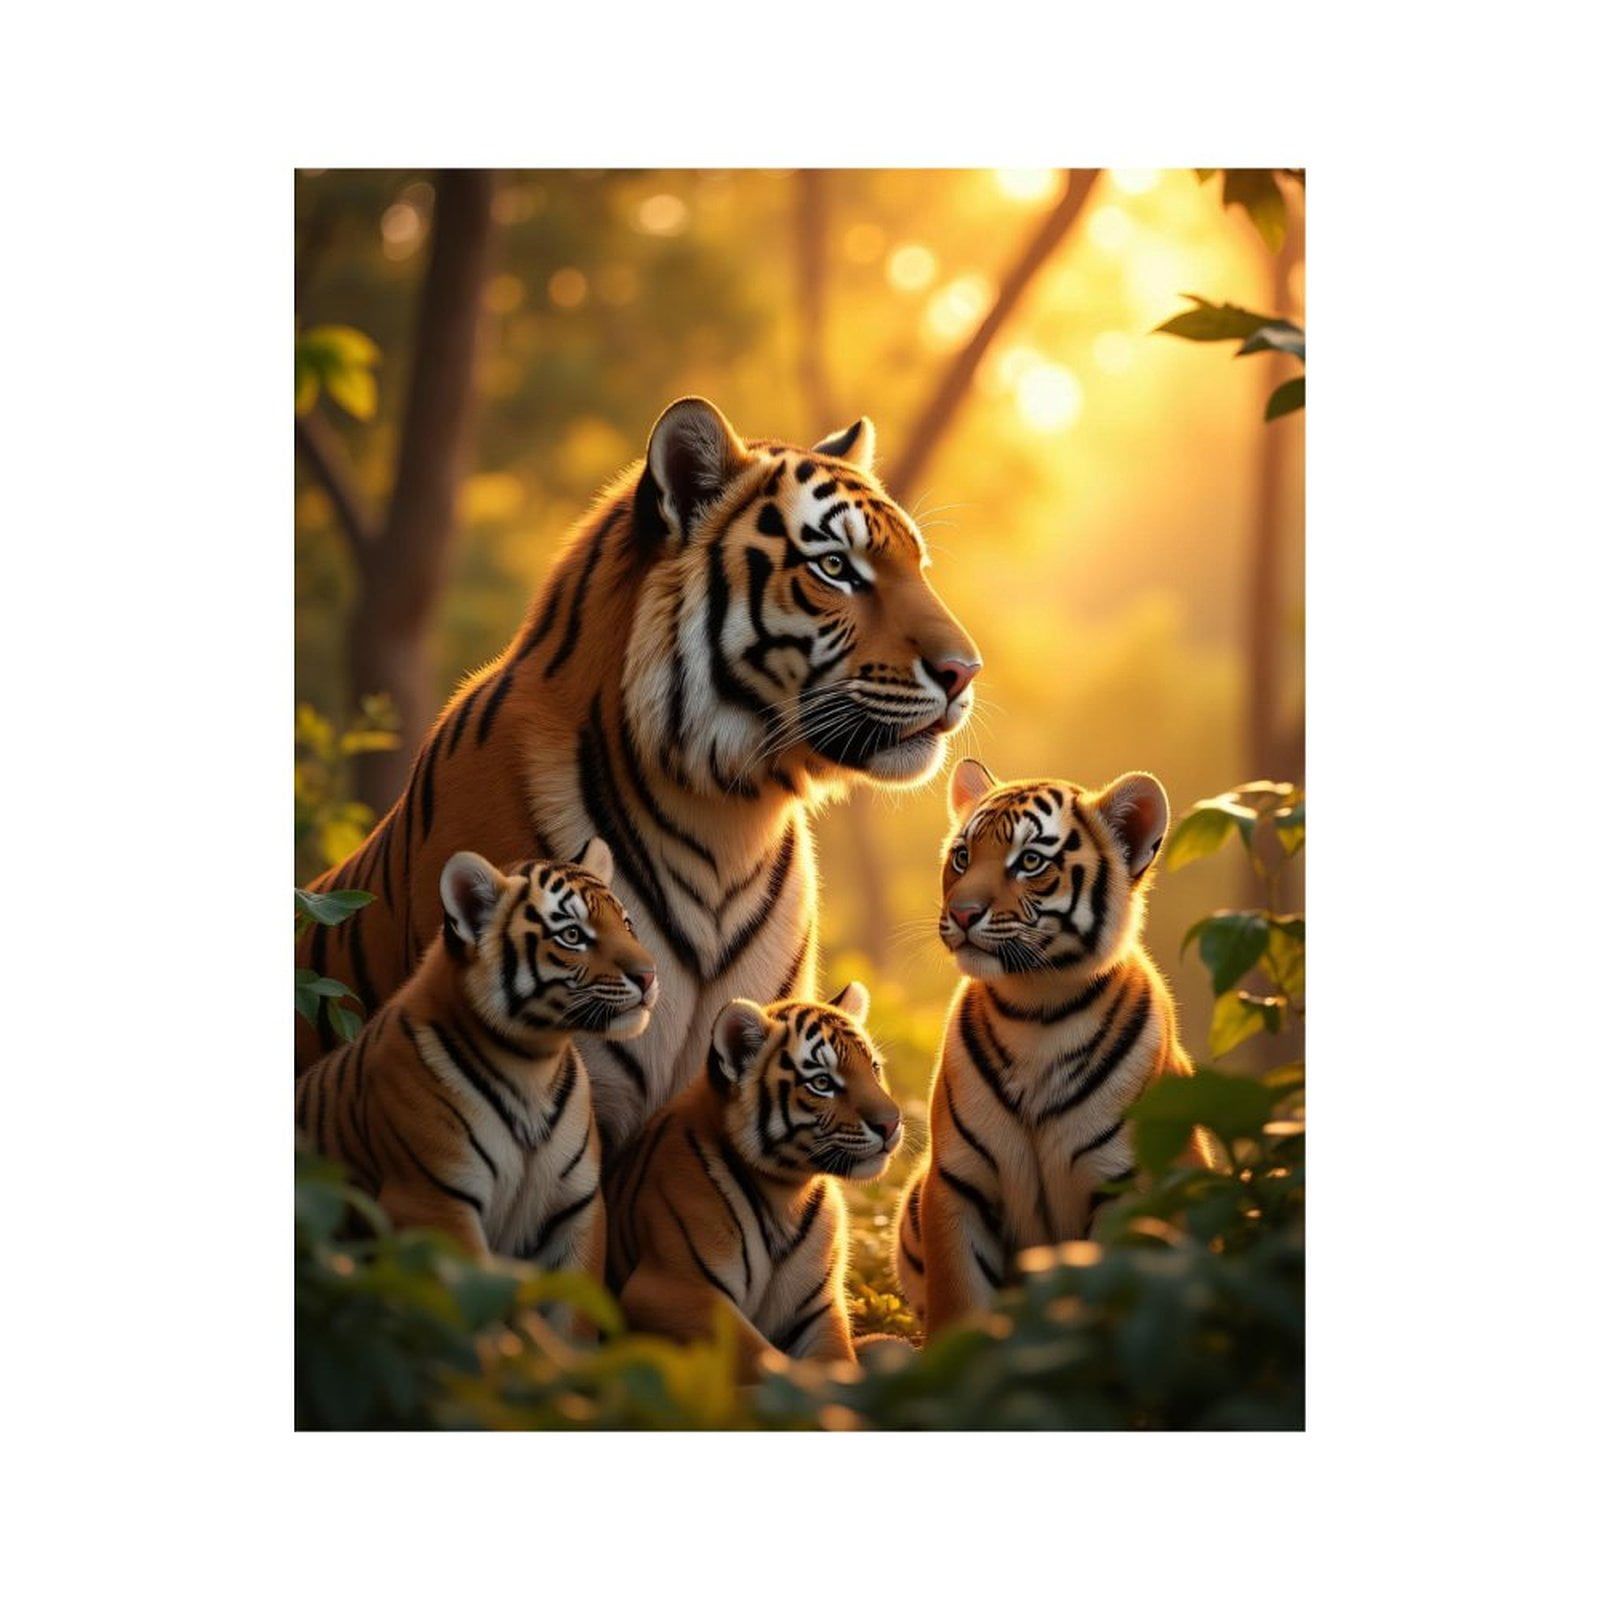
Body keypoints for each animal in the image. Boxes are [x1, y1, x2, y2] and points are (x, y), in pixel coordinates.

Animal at [294, 839, 656, 1289]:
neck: (533, 1063)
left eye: (626, 924)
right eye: (572, 935)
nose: (649, 976)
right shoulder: (433, 1201)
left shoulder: (578, 1210)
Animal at [605, 984, 901, 1381]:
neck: (787, 1192)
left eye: (873, 1068)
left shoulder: (821, 1308)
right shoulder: (670, 1289)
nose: (891, 1123)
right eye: (822, 1083)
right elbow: (760, 1357)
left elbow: (838, 1360)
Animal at [894, 759, 1204, 1338]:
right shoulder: (958, 1184)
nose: (962, 913)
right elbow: (959, 1307)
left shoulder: (1125, 1186)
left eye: (1030, 861)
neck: (1036, 1009)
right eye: (962, 856)